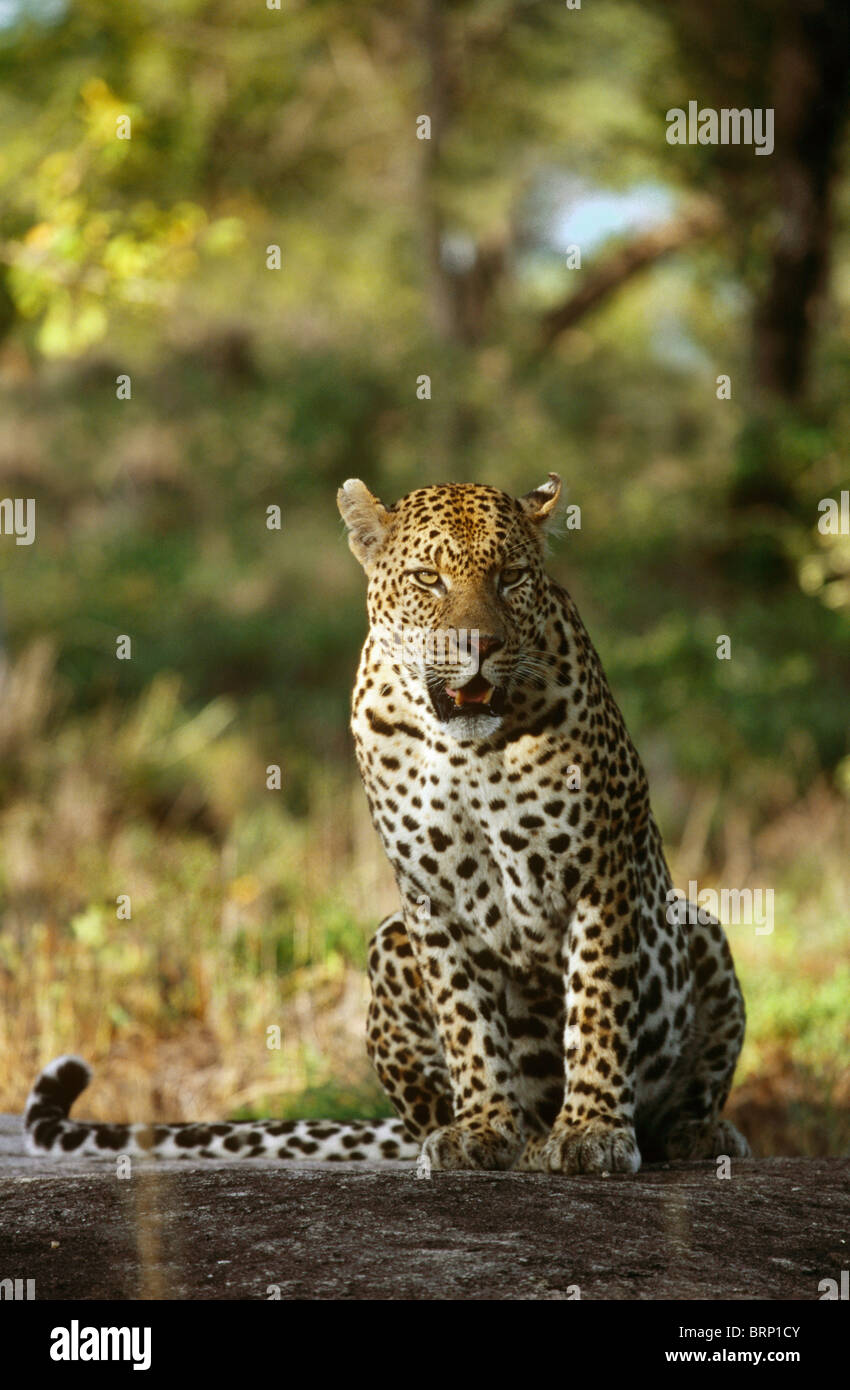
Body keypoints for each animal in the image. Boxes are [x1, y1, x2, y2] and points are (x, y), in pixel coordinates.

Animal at [24, 474, 749, 1173]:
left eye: (512, 576)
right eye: (429, 578)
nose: (479, 645)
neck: (470, 750)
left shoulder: (601, 870)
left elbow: (597, 1006)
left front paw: (592, 1131)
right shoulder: (431, 897)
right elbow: (466, 1020)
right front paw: (482, 1129)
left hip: (700, 929)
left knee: (693, 1084)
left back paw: (696, 1134)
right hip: (387, 942)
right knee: (425, 1103)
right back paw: (490, 1134)